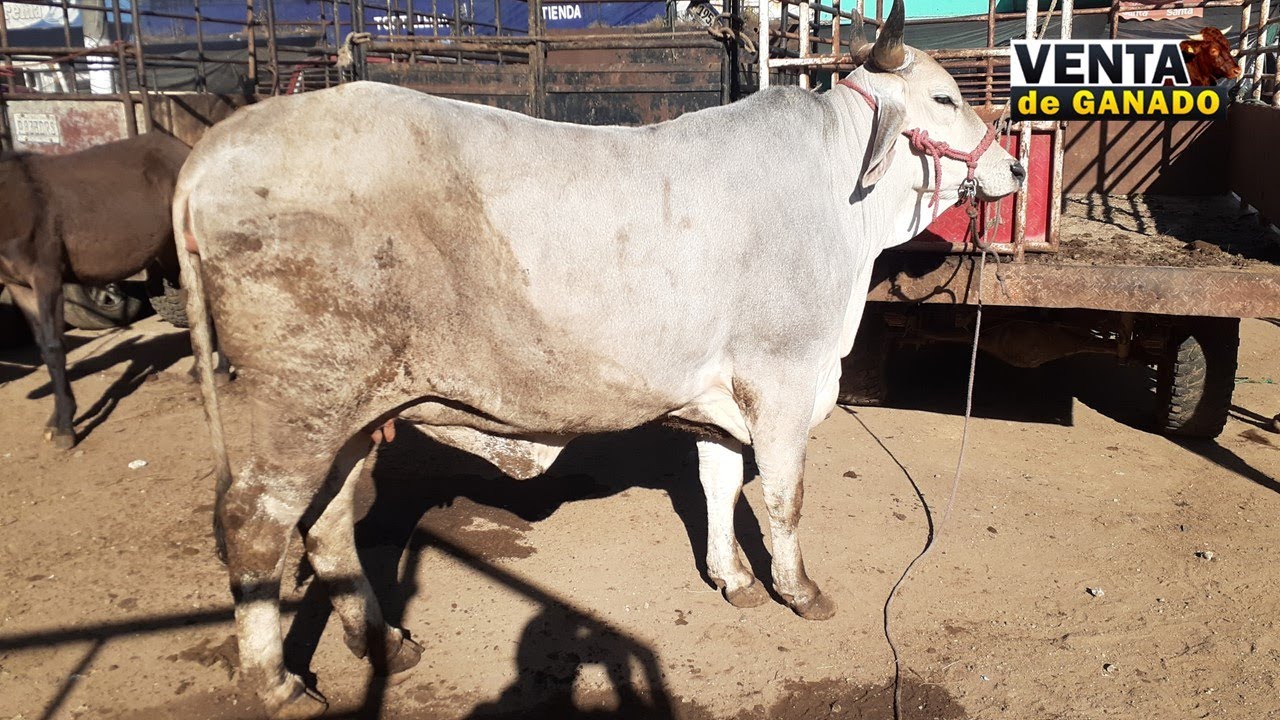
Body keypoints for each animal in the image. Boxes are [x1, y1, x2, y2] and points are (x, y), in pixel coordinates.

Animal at [0, 132, 190, 450]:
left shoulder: (46, 277)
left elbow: (54, 346)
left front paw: (65, 427)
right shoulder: (19, 287)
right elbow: (43, 348)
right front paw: (57, 420)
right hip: (168, 253)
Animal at [176, 0, 1022, 715]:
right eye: (945, 98)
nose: (1012, 168)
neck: (838, 195)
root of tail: (213, 149)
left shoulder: (720, 399)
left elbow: (720, 486)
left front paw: (734, 579)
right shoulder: (783, 380)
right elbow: (783, 499)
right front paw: (800, 591)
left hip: (354, 412)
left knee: (327, 525)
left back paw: (379, 640)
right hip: (301, 402)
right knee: (256, 523)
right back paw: (277, 683)